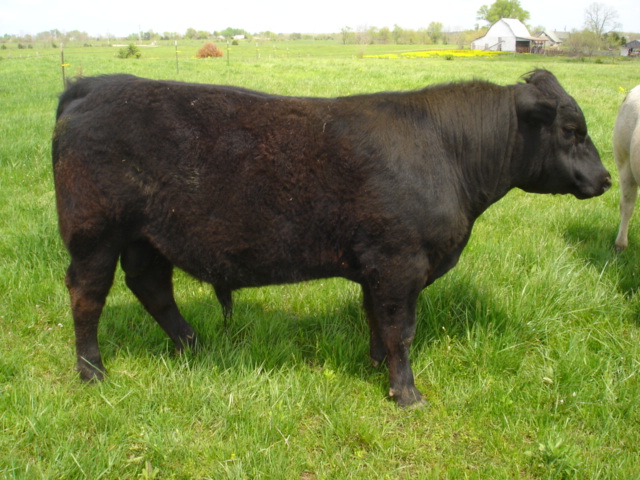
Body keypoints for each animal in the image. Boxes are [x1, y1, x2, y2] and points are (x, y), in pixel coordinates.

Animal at [52, 70, 611, 407]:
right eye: (571, 129)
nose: (606, 179)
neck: (446, 152)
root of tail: (94, 85)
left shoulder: (376, 267)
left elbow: (377, 322)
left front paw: (375, 367)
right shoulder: (400, 262)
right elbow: (401, 330)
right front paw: (407, 394)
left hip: (145, 237)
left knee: (152, 288)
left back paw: (193, 347)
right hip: (94, 235)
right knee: (88, 296)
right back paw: (93, 371)